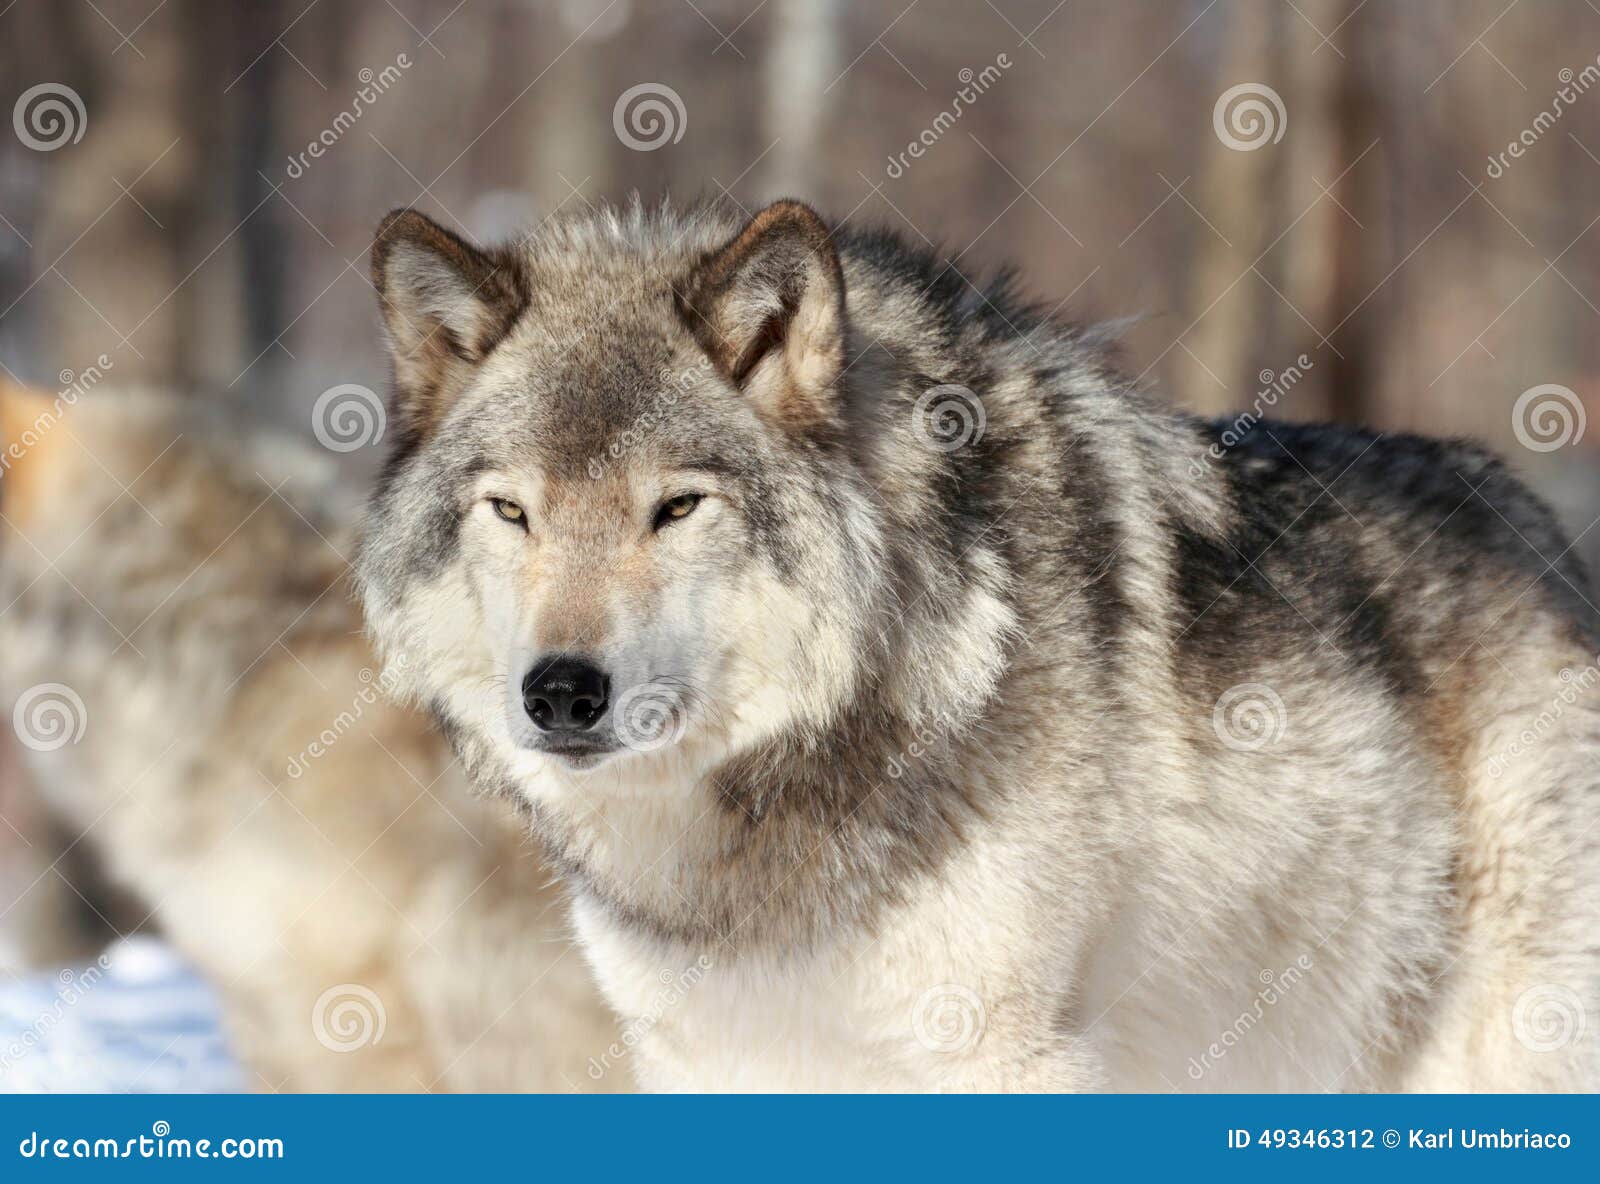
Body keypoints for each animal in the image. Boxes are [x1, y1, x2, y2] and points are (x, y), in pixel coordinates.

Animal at [356, 197, 1600, 1092]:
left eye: (676, 507)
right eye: (511, 511)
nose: (562, 691)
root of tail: (1547, 538)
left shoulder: (998, 1048)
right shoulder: (709, 1058)